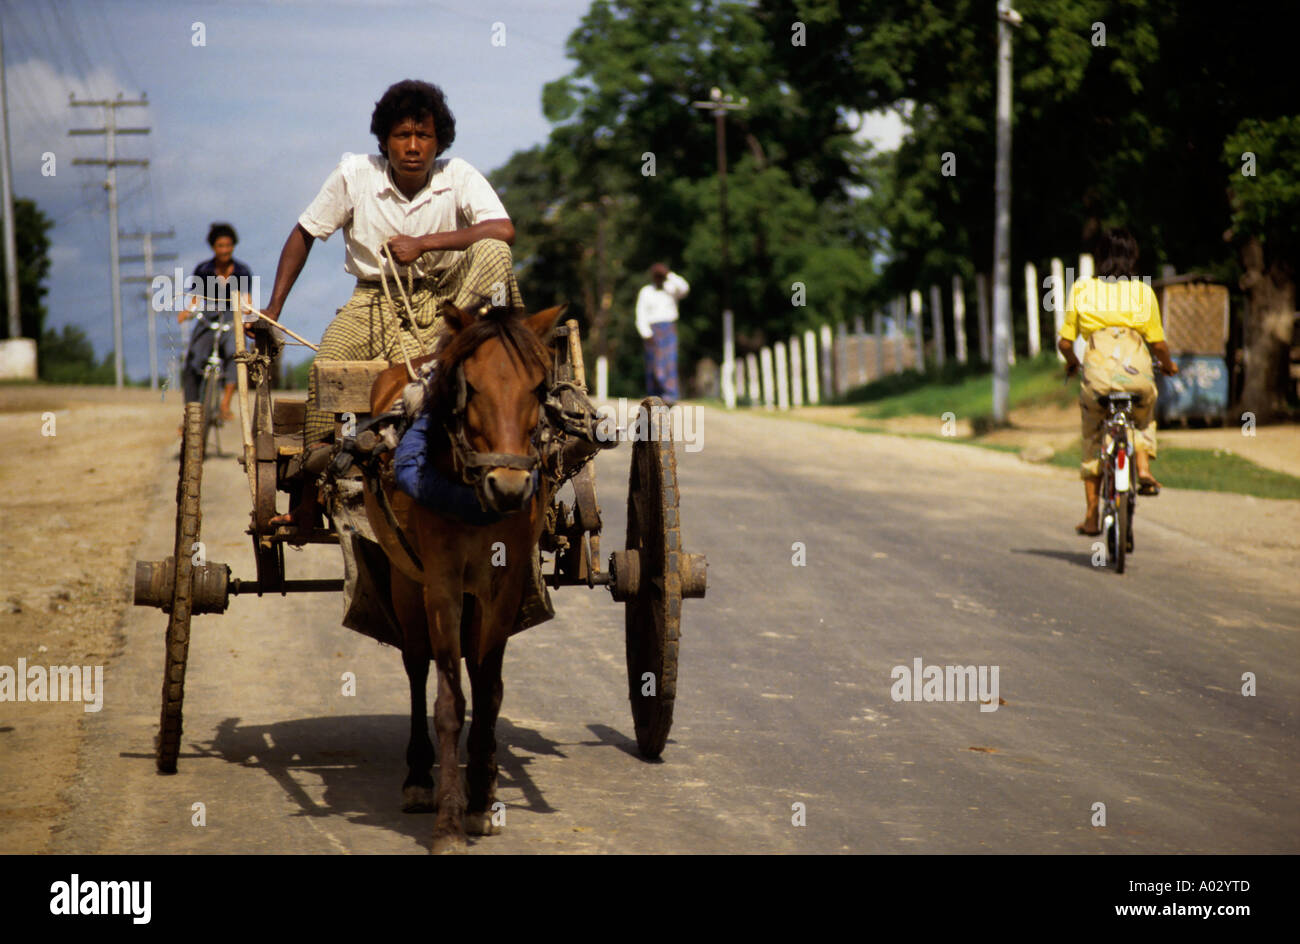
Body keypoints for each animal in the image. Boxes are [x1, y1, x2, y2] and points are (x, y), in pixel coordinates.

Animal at [363, 302, 564, 853]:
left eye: (538, 388)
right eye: (468, 387)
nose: (510, 487)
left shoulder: (504, 585)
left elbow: (489, 689)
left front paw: (480, 800)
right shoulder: (442, 584)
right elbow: (450, 701)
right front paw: (449, 822)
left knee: (475, 666)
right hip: (405, 580)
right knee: (416, 665)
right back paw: (417, 777)